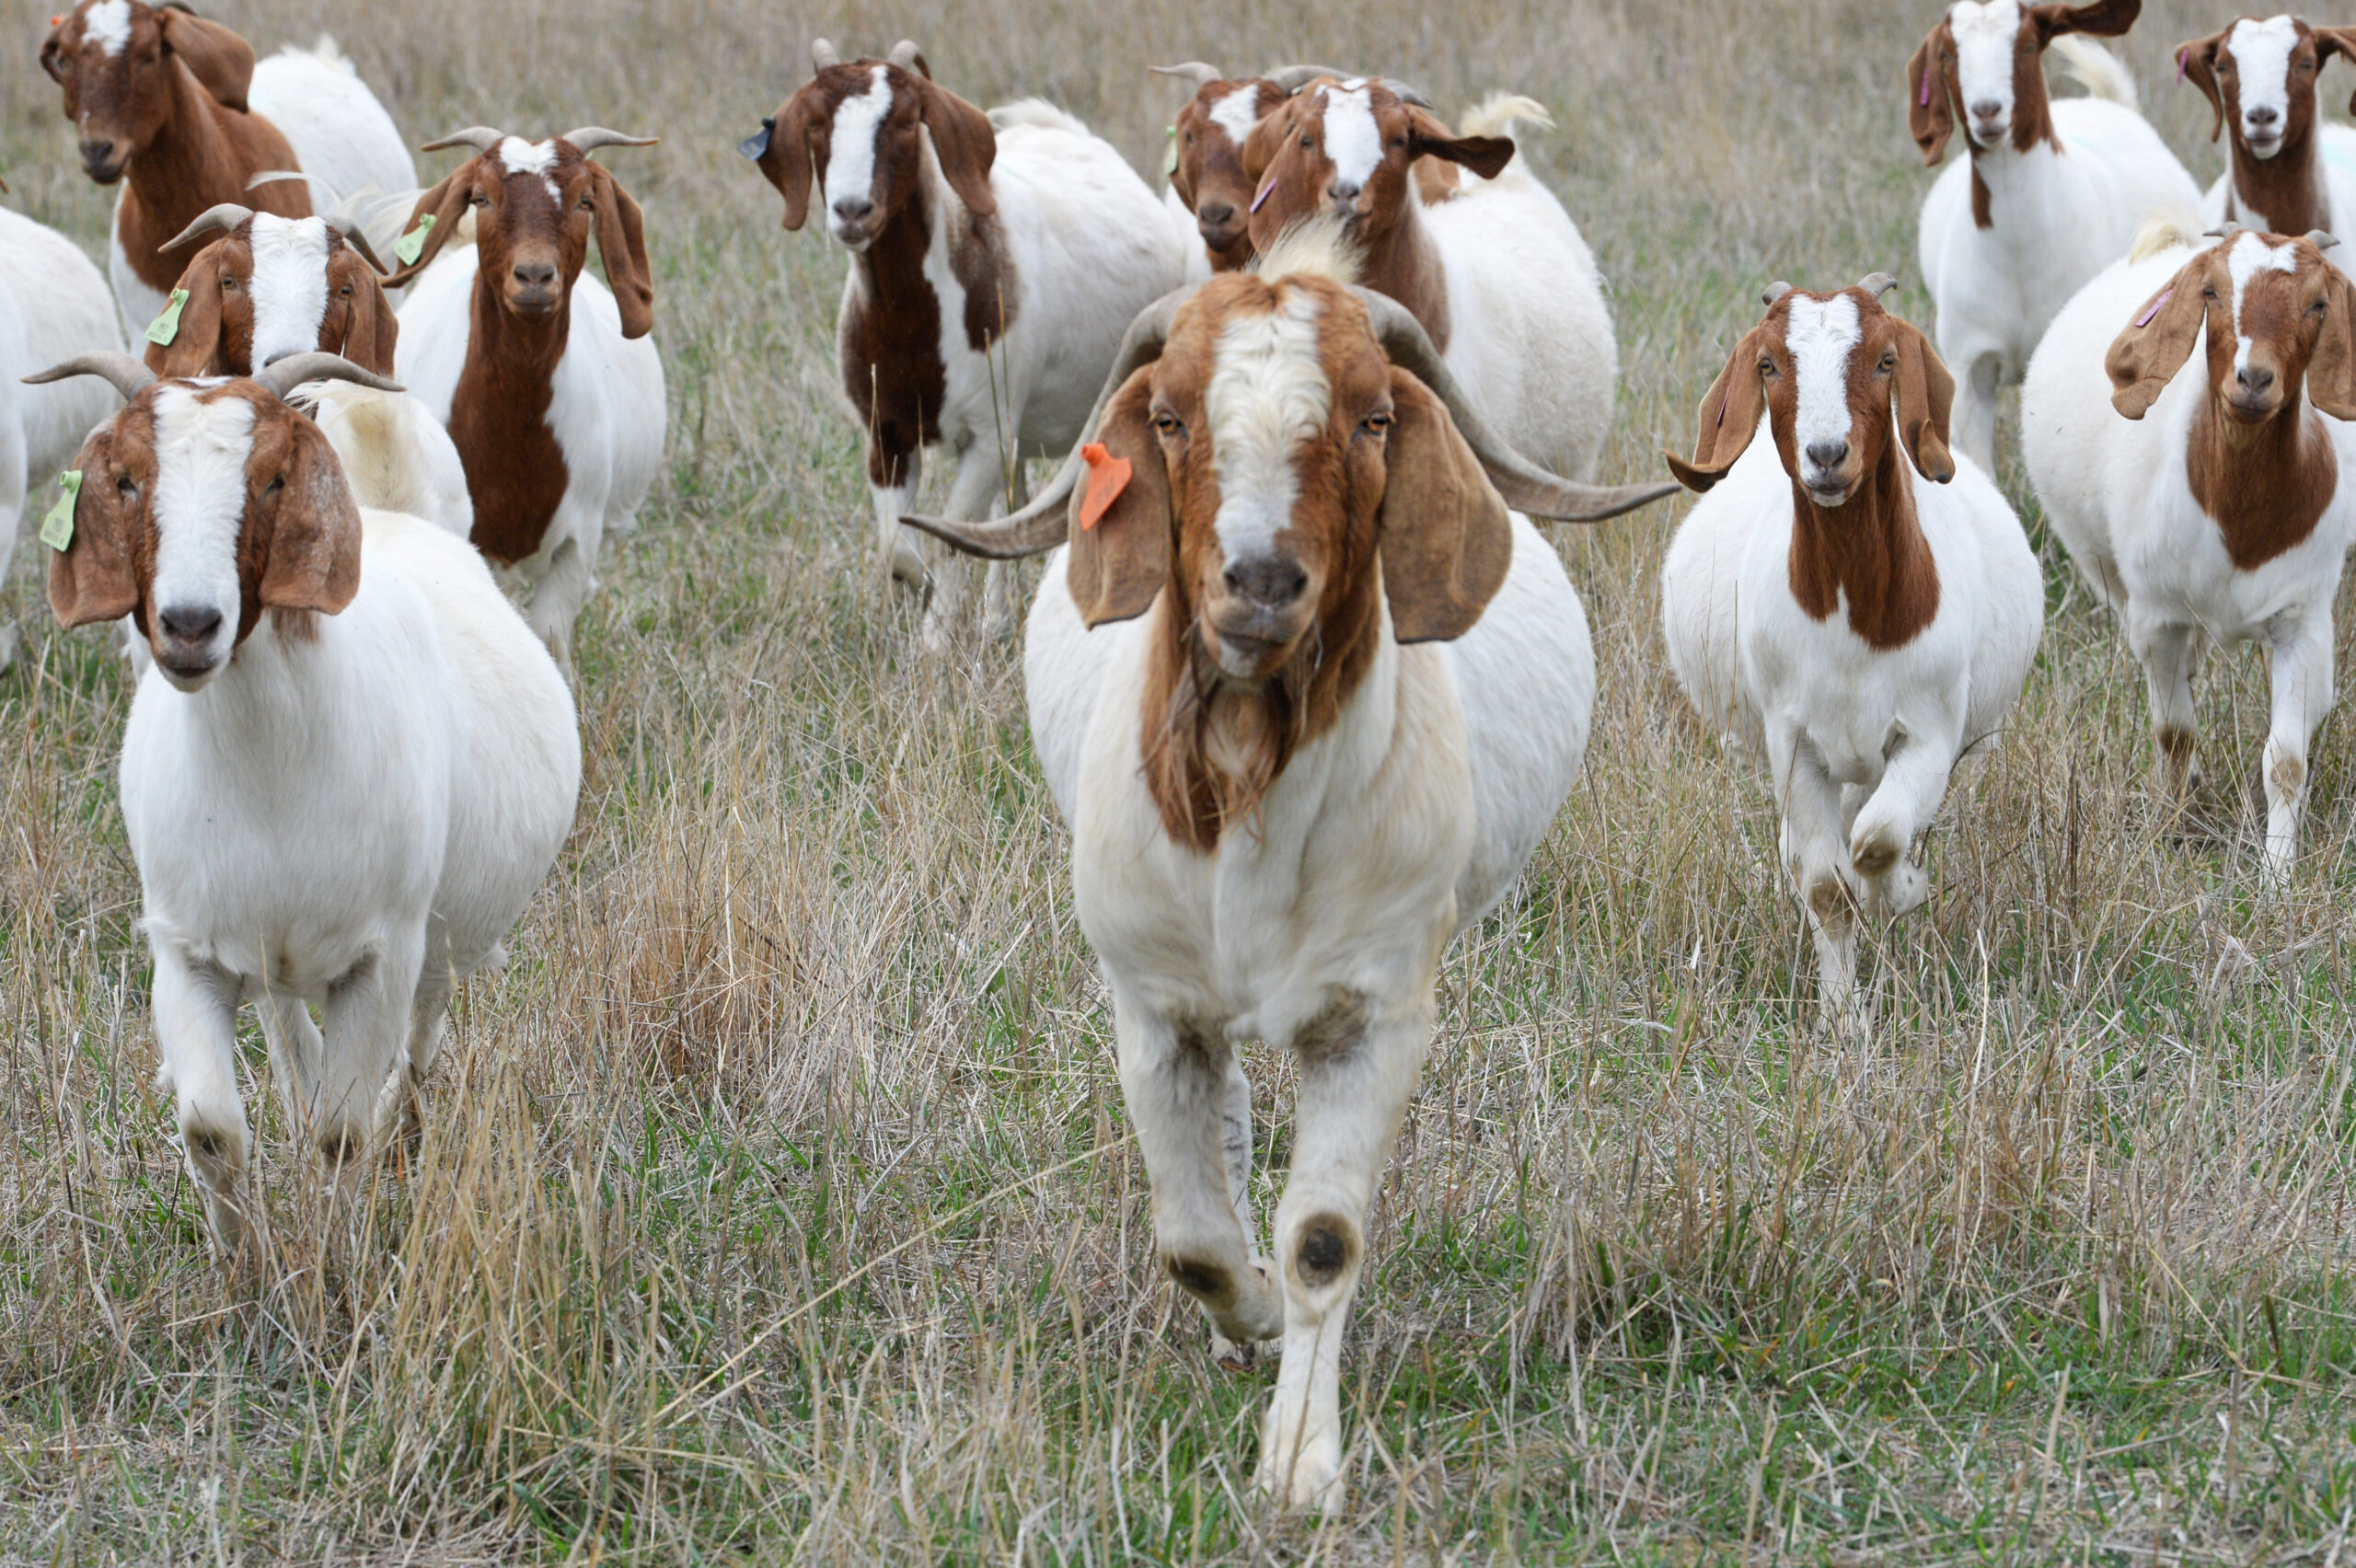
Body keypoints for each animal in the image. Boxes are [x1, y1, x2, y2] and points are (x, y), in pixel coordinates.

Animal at [29, 349, 579, 1264]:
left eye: (274, 478)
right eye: (127, 480)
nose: (189, 624)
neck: (272, 776)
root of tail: (390, 515)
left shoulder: (380, 954)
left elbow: (342, 1136)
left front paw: (336, 1256)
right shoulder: (187, 949)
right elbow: (212, 1128)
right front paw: (243, 1274)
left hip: (441, 940)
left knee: (422, 1043)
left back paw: (404, 1136)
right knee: (290, 1029)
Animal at [748, 38, 1189, 647]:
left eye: (907, 120)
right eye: (815, 123)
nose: (852, 211)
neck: (911, 333)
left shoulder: (986, 431)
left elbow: (954, 535)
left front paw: (933, 642)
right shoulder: (885, 433)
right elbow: (898, 545)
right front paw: (922, 596)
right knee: (1012, 503)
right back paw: (997, 620)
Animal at [900, 232, 1673, 1509]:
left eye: (1372, 418)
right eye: (1168, 417)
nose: (1259, 584)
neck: (1249, 784)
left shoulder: (1377, 1014)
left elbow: (1322, 1238)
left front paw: (1300, 1460)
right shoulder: (1150, 1009)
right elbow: (1193, 1242)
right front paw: (1249, 1316)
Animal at [1661, 276, 2043, 1027]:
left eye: (1886, 359)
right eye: (1769, 364)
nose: (1827, 456)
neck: (1852, 617)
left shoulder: (1929, 734)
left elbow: (1879, 840)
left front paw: (1904, 890)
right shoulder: (1794, 744)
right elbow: (1825, 884)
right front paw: (1843, 1019)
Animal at [2021, 223, 2356, 885]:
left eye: (2317, 303)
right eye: (2212, 291)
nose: (2253, 380)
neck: (2239, 520)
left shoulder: (2302, 622)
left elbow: (2286, 759)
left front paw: (2277, 876)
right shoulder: (2158, 618)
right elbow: (2174, 733)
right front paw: (2171, 830)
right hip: (2108, 574)